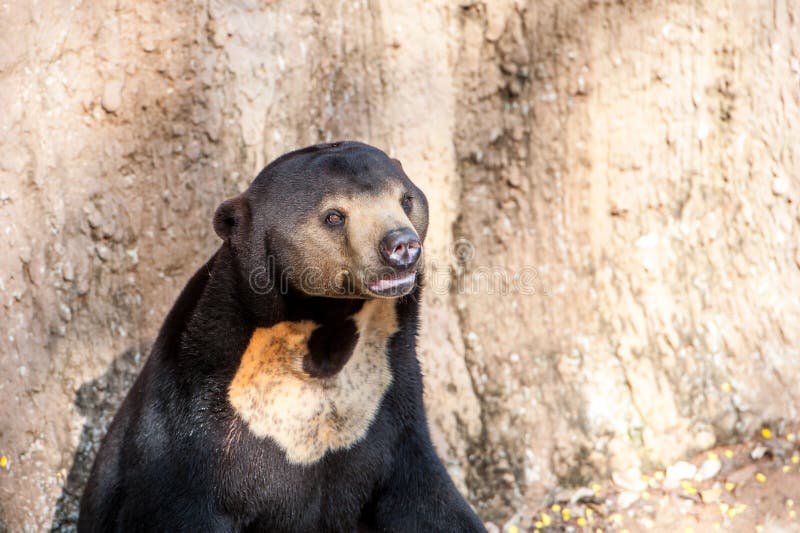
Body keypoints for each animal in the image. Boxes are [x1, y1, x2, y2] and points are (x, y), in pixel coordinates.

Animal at [79, 141, 486, 532]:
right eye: (334, 216)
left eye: (406, 200)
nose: (401, 245)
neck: (324, 335)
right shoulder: (190, 431)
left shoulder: (388, 403)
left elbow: (429, 500)